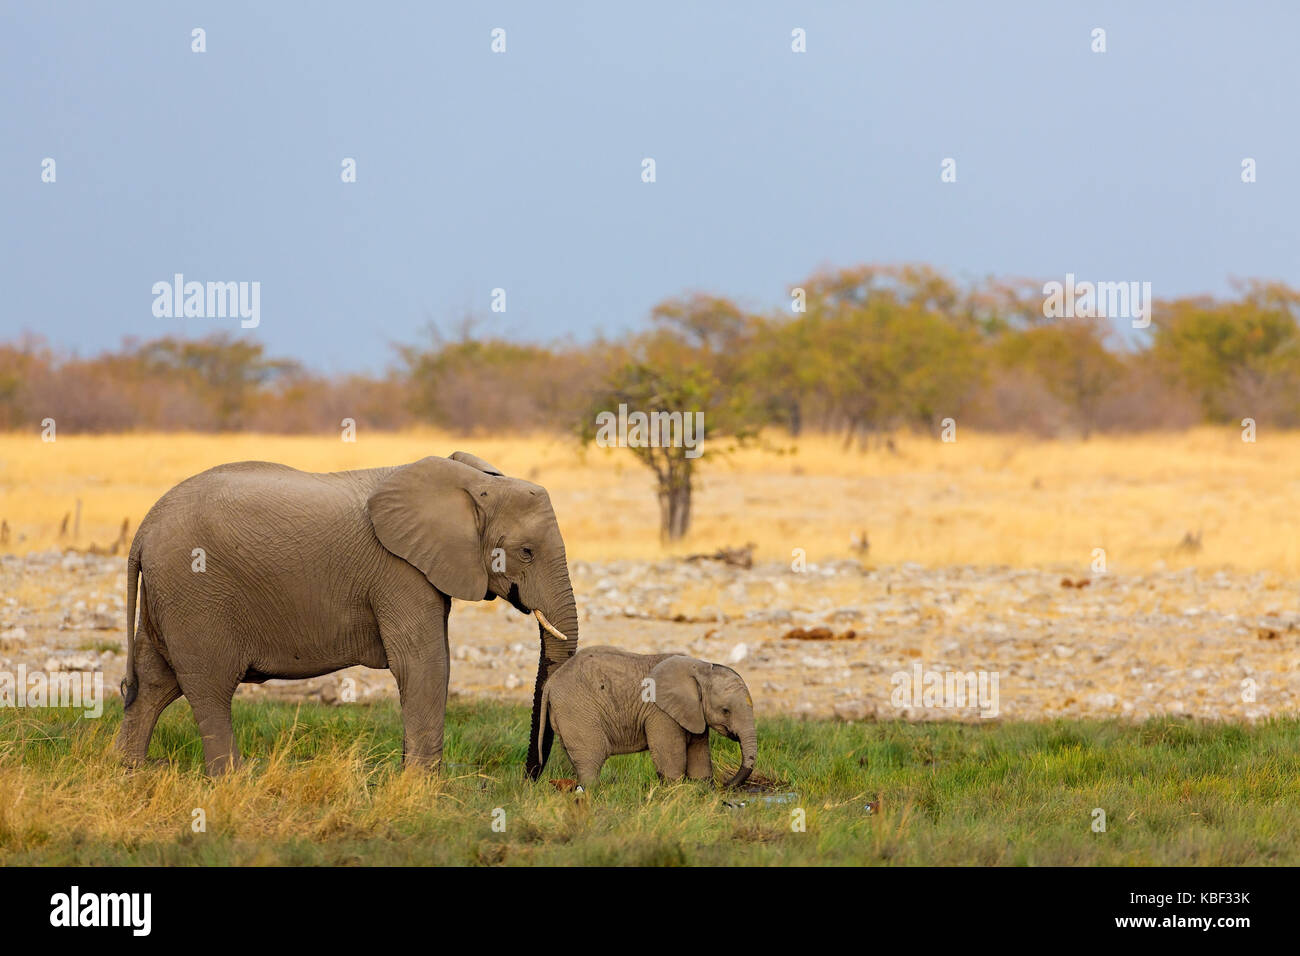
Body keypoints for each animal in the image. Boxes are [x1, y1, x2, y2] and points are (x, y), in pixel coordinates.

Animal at [114, 451, 579, 776]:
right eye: (526, 552)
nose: (529, 775)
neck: (471, 483)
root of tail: (143, 529)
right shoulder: (398, 570)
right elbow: (424, 663)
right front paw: (422, 786)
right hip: (194, 592)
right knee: (209, 686)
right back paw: (233, 780)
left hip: (171, 595)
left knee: (154, 681)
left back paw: (131, 772)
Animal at [537, 646, 757, 788]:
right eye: (726, 710)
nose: (726, 783)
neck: (701, 668)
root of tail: (551, 682)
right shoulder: (660, 712)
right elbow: (670, 757)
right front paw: (674, 792)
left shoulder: (694, 713)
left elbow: (699, 753)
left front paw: (701, 789)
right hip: (578, 710)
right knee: (592, 756)